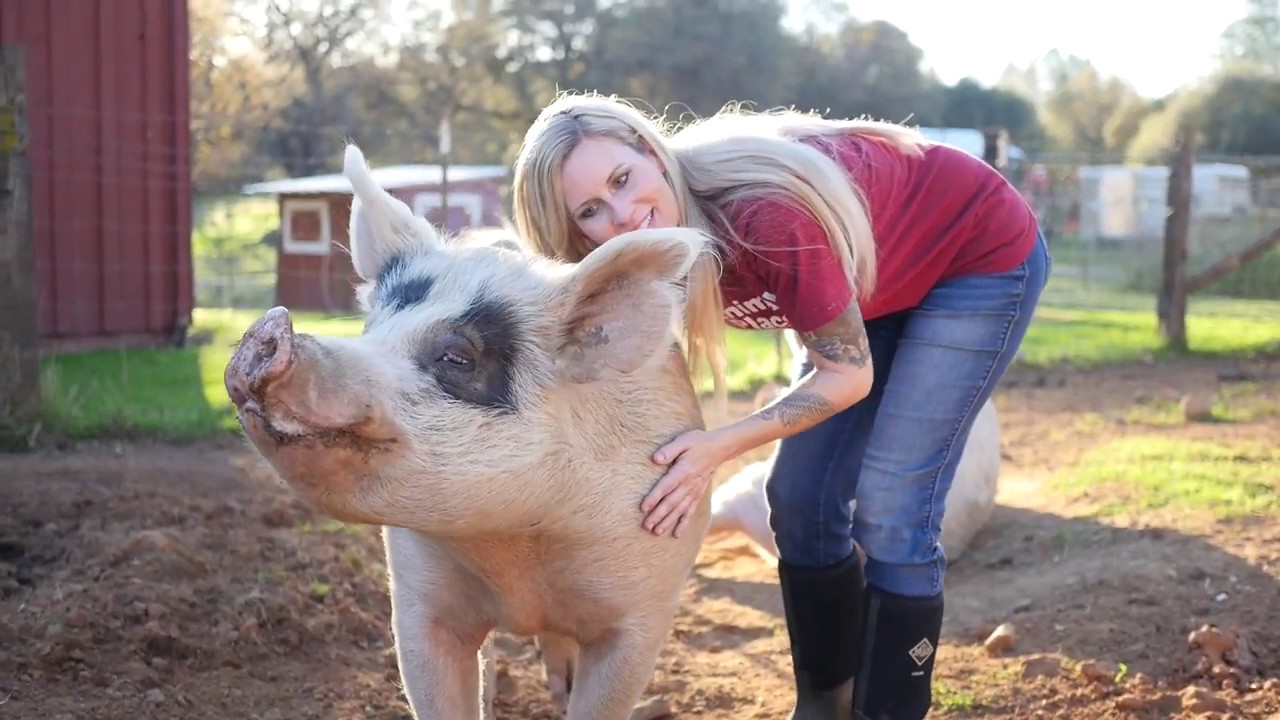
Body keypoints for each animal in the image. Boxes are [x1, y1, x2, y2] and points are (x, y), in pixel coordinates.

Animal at [224, 143, 718, 720]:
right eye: (372, 329)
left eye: (456, 358)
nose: (270, 326)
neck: (516, 547)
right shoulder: (417, 598)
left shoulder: (644, 608)